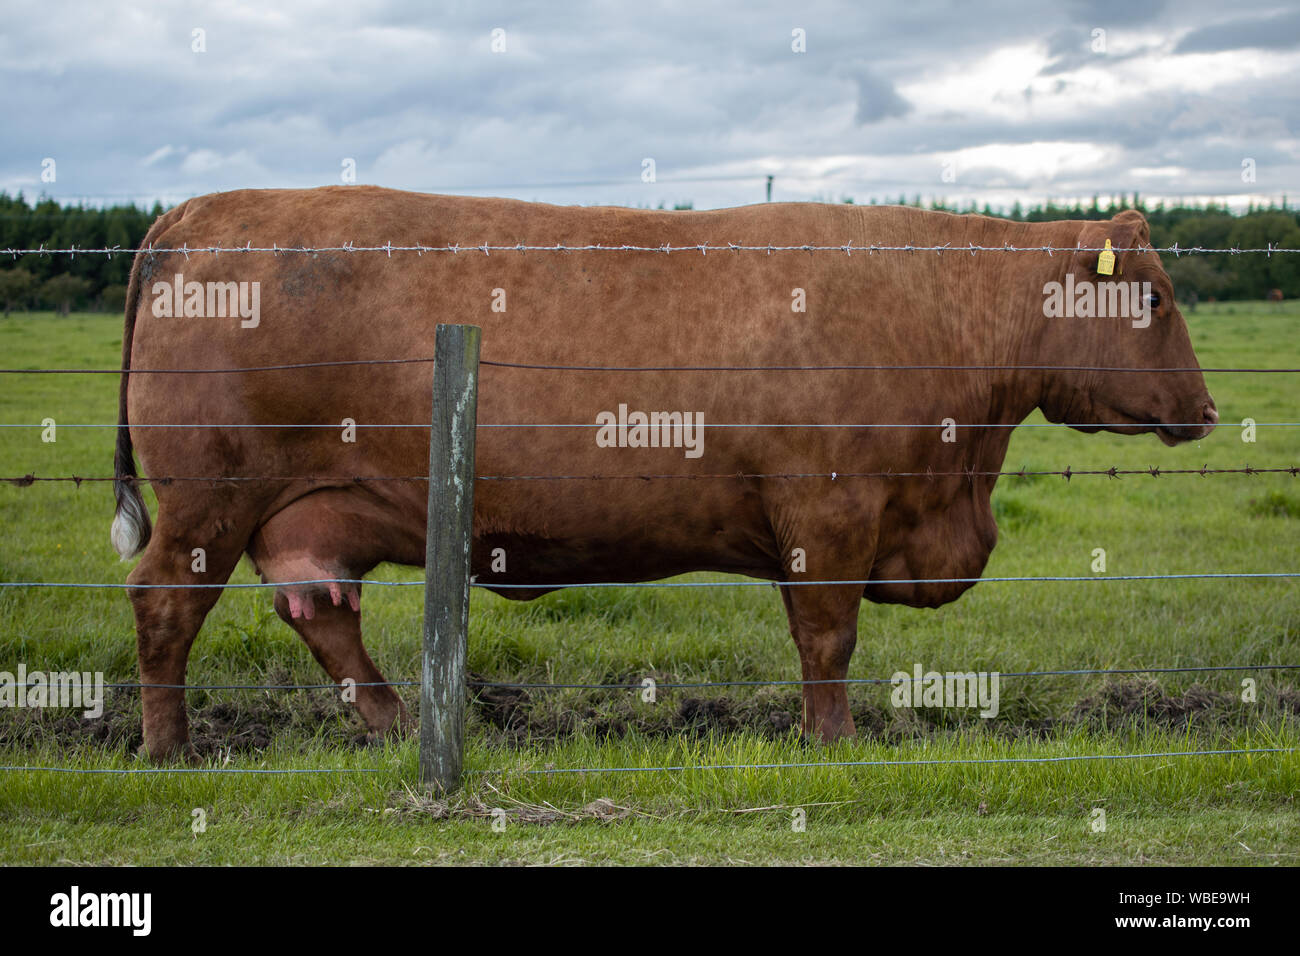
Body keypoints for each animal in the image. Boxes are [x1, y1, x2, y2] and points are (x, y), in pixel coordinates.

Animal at [111, 188, 1217, 759]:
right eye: (1154, 298)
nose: (1206, 412)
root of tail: (194, 213)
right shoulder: (829, 507)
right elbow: (828, 636)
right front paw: (832, 741)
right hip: (208, 500)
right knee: (165, 603)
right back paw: (170, 747)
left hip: (301, 513)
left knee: (323, 612)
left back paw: (397, 724)